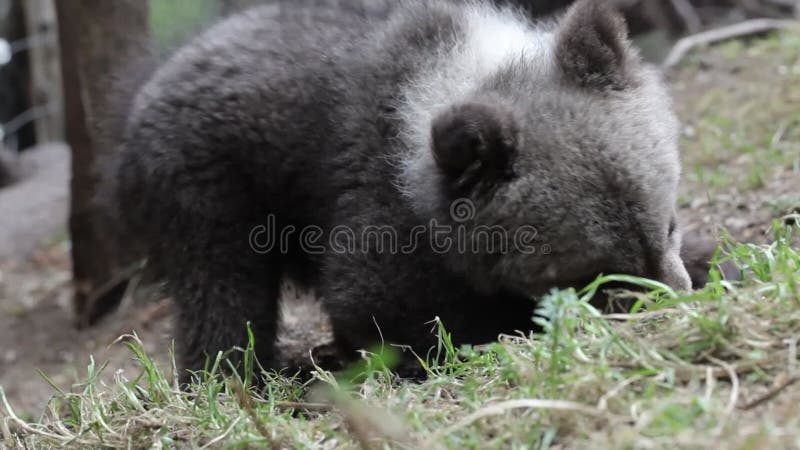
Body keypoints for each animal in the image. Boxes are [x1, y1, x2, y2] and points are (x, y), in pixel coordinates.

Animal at [115, 0, 691, 382]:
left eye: (668, 226)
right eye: (593, 270)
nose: (675, 299)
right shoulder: (379, 207)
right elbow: (385, 307)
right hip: (208, 189)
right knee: (223, 296)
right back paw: (236, 377)